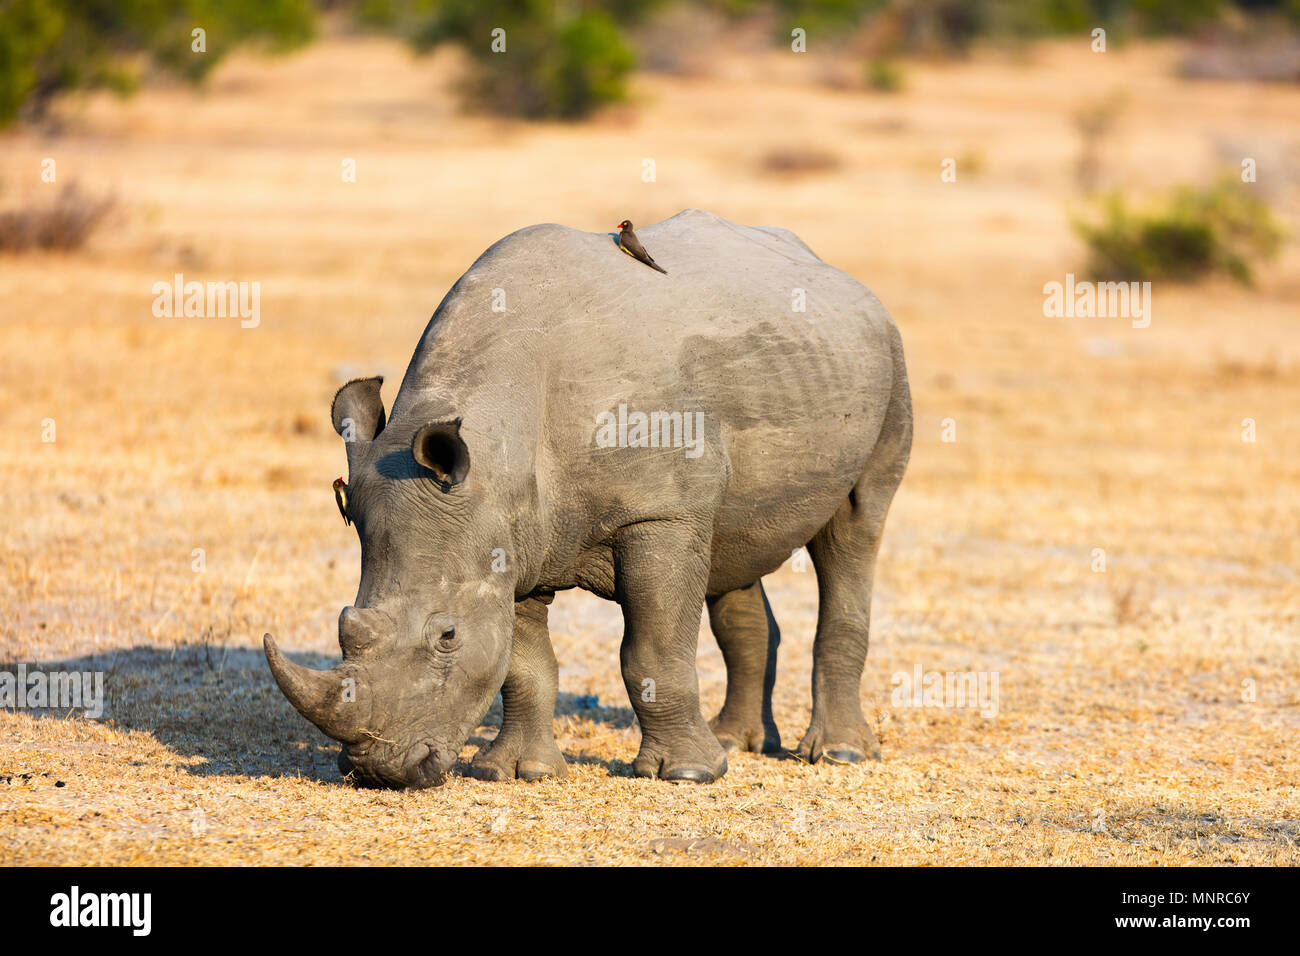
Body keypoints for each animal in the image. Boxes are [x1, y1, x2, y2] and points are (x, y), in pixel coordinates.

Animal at [264, 209, 912, 788]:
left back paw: (838, 755)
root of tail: (839, 274)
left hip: (890, 358)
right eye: (345, 626)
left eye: (446, 637)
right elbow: (523, 664)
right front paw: (516, 773)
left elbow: (652, 648)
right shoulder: (513, 533)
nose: (380, 771)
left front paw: (686, 775)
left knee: (857, 525)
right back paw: (738, 742)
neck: (495, 449)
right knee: (734, 551)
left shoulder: (658, 512)